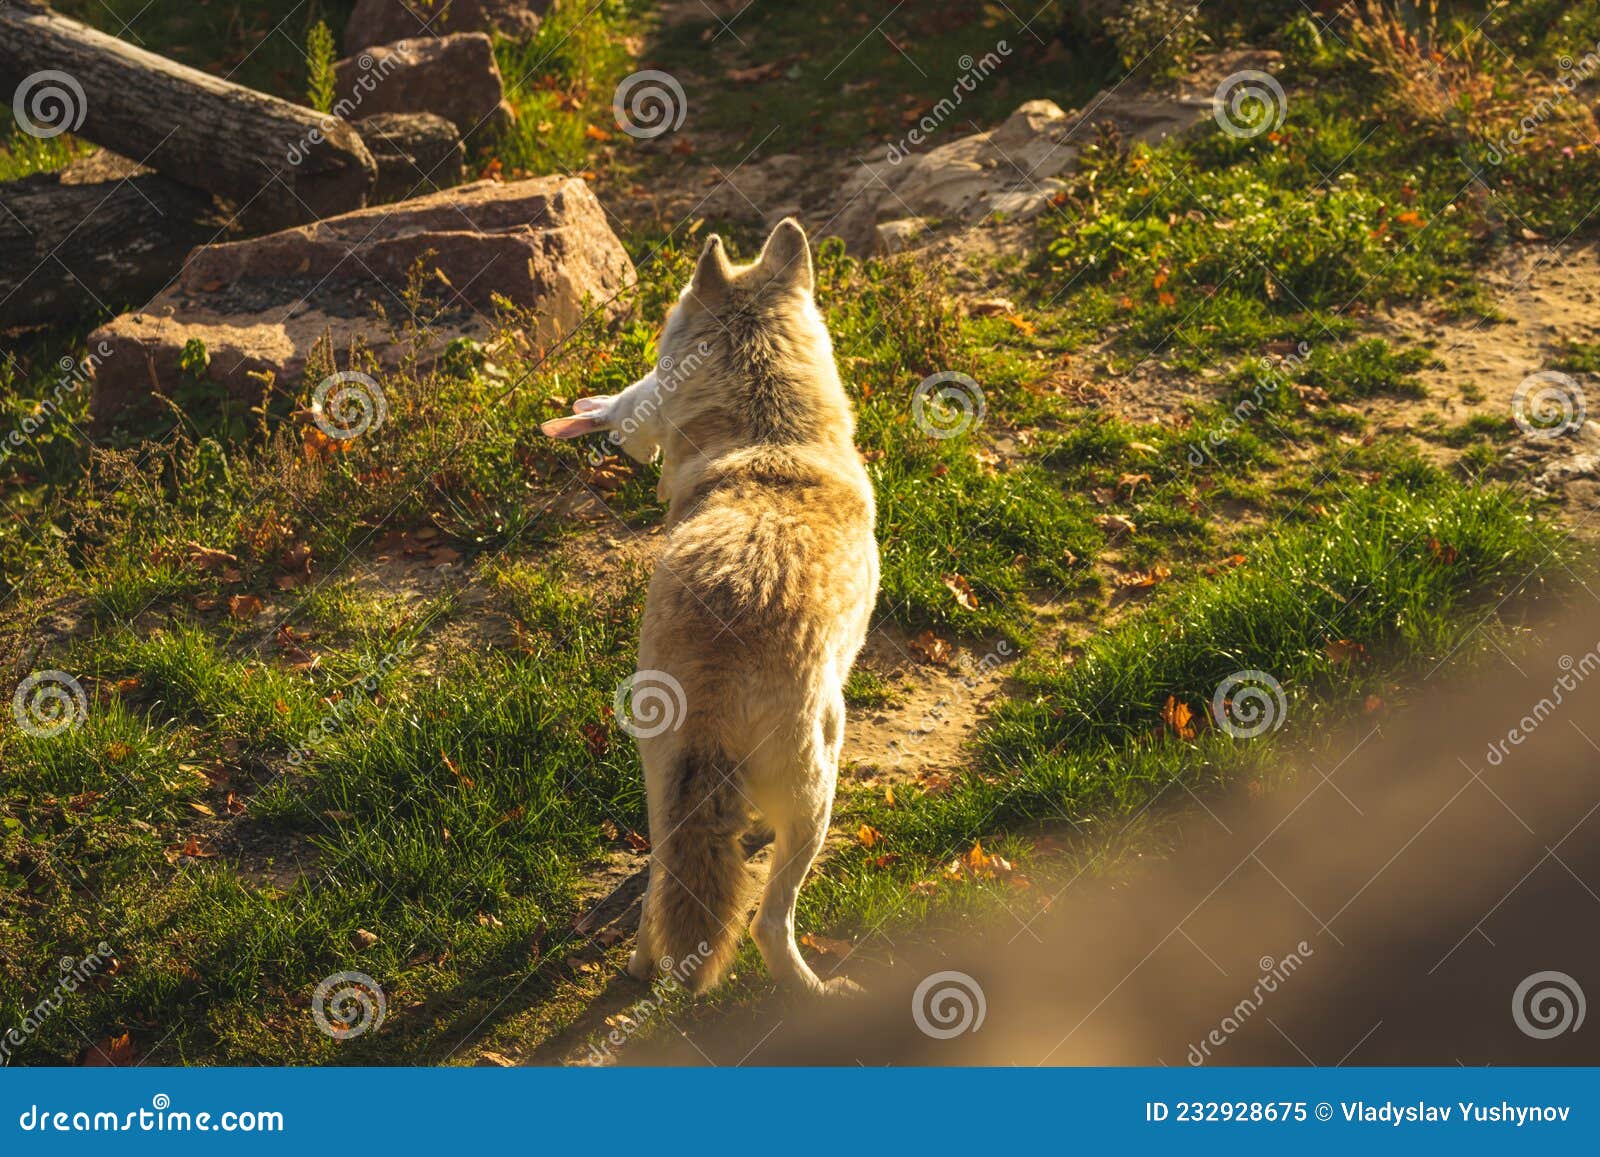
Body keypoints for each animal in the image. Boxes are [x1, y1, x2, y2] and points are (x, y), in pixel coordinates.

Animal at [541, 219, 878, 996]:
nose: (594, 405)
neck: (768, 433)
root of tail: (719, 673)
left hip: (661, 794)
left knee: (661, 898)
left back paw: (642, 968)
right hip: (822, 779)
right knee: (767, 923)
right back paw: (819, 992)